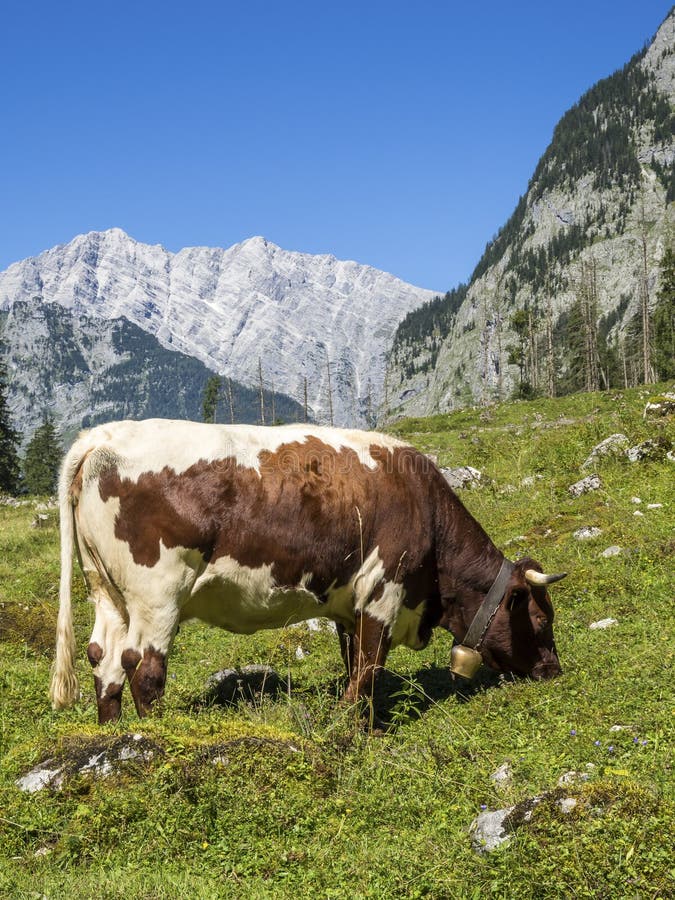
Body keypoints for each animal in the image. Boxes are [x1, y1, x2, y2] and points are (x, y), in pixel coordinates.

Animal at [50, 419, 566, 724]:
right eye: (541, 619)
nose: (554, 671)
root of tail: (103, 436)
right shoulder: (383, 590)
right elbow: (369, 667)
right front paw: (357, 731)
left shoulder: (348, 605)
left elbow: (353, 661)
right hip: (157, 594)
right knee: (143, 666)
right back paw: (158, 738)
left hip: (107, 591)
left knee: (104, 659)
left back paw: (115, 735)